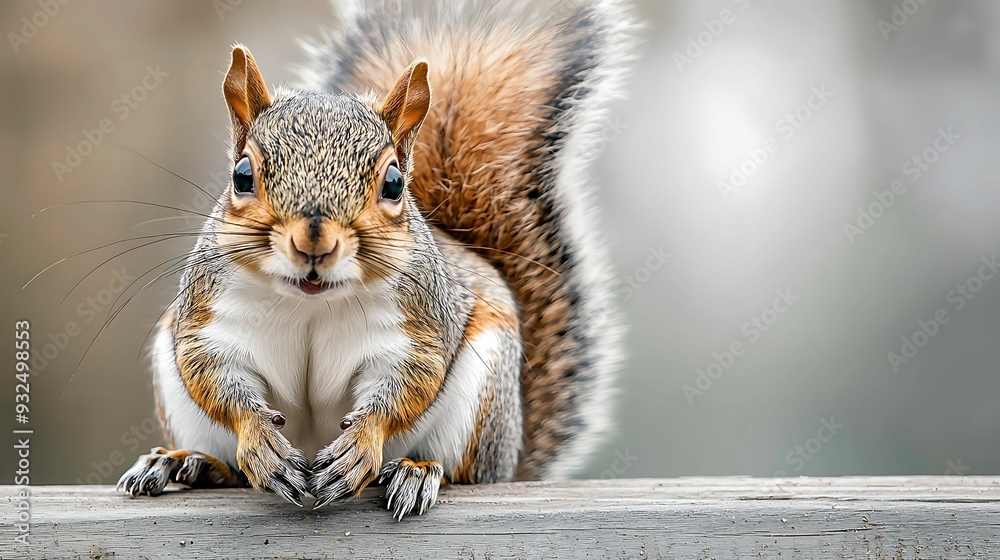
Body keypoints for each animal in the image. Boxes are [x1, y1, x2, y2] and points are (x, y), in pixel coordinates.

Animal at [117, 0, 632, 519]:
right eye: (242, 175)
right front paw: (261, 440)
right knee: (231, 472)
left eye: (394, 184)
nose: (314, 243)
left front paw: (361, 446)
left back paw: (414, 473)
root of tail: (509, 458)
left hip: (482, 395)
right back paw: (184, 463)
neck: (310, 302)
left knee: (461, 474)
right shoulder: (210, 321)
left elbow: (405, 390)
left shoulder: (417, 329)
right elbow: (215, 382)